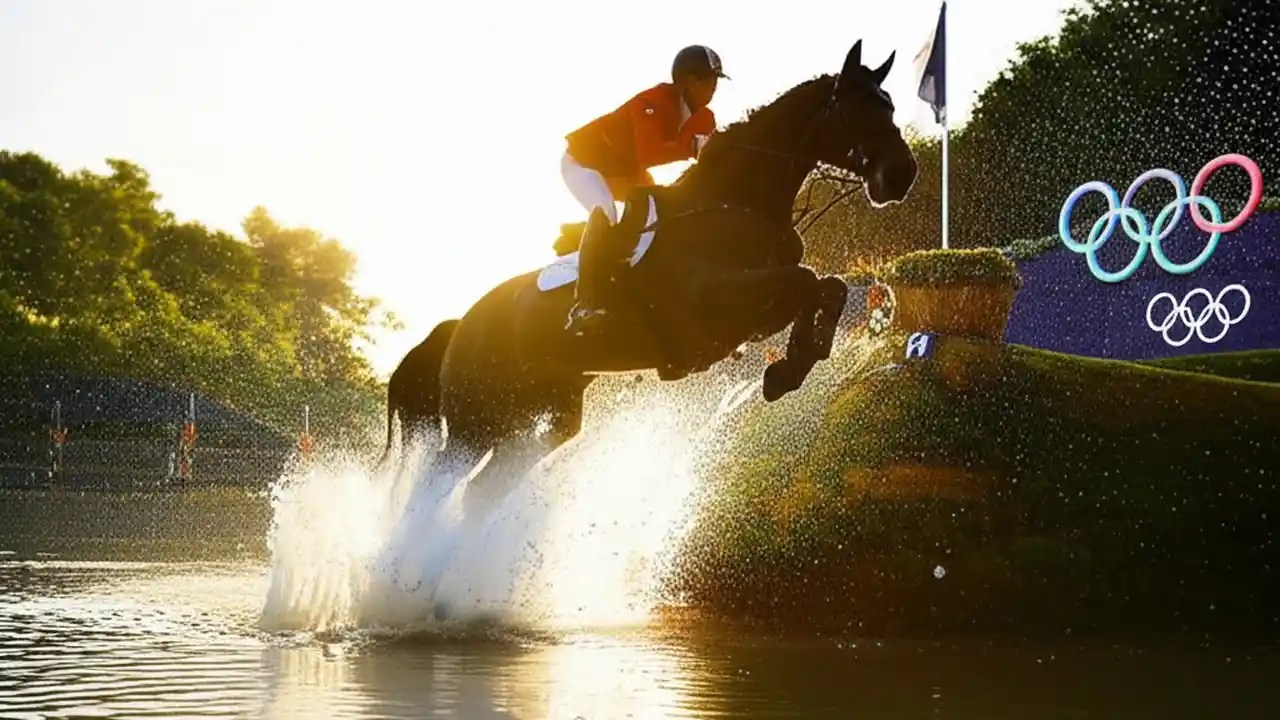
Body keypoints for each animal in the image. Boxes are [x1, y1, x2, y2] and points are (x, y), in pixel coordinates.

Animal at [381, 38, 918, 510]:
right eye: (859, 108)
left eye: (890, 107)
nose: (902, 176)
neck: (736, 201)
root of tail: (459, 326)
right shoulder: (718, 305)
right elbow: (807, 281)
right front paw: (787, 370)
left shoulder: (751, 315)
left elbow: (829, 286)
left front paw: (797, 363)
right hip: (474, 422)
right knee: (441, 485)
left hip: (540, 417)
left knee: (480, 492)